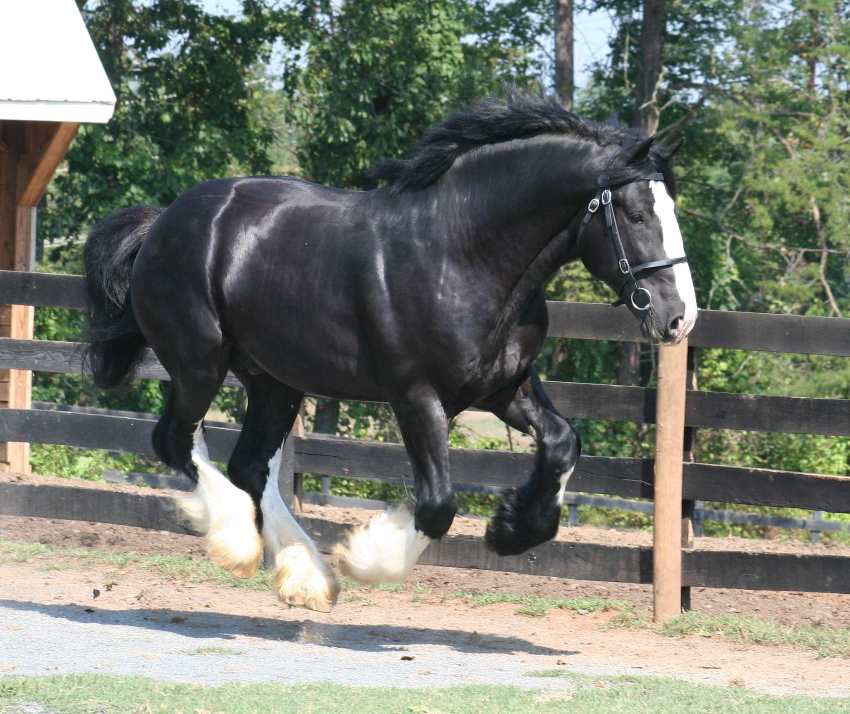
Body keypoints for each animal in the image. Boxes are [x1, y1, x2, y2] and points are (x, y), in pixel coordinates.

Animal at [82, 93, 697, 613]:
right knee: (176, 442)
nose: (678, 317)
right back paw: (240, 542)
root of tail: (162, 222)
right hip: (199, 362)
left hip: (274, 381)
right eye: (637, 214)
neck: (460, 253)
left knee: (249, 465)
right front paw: (368, 556)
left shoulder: (504, 387)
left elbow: (564, 443)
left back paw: (307, 576)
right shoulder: (415, 397)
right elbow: (437, 504)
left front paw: (511, 528)